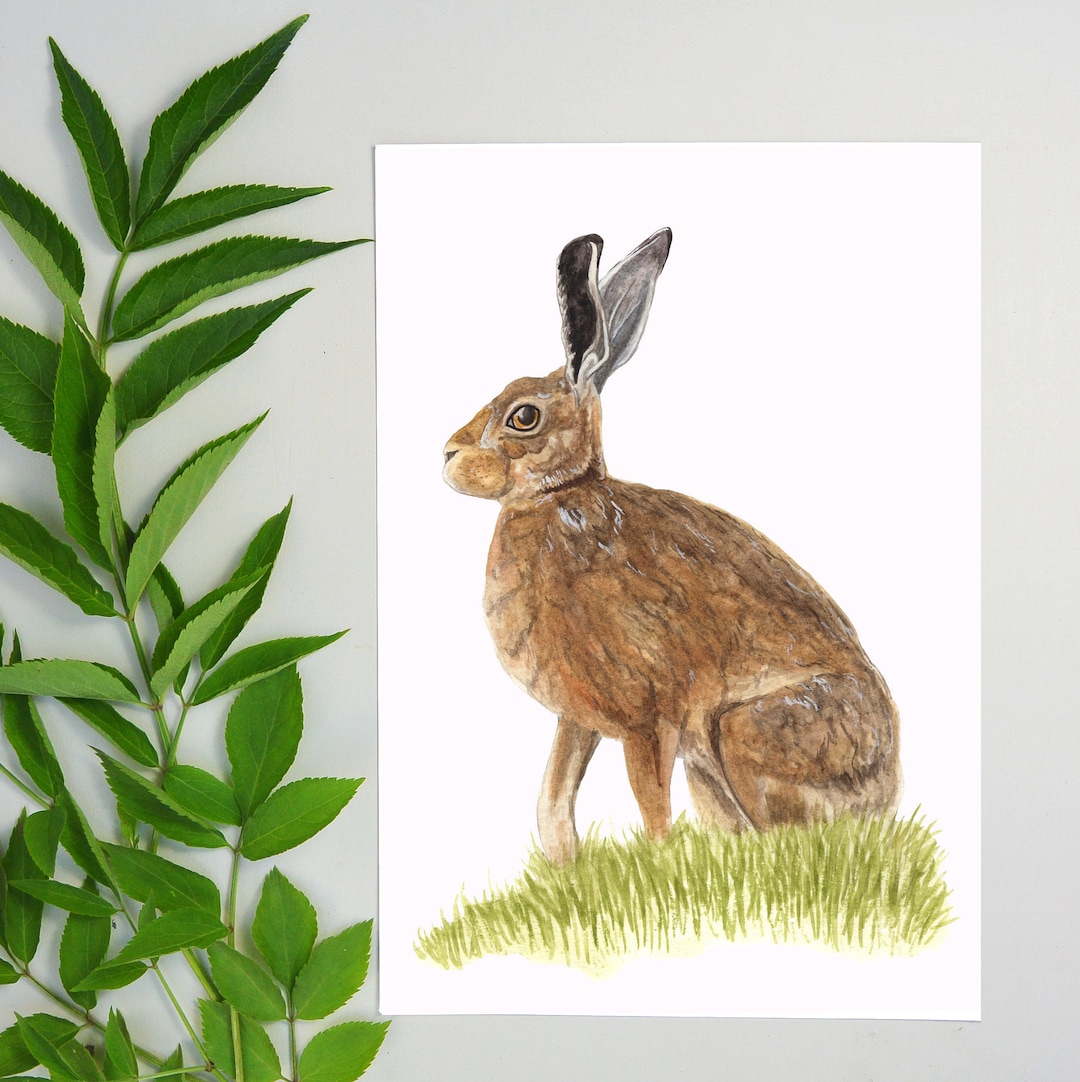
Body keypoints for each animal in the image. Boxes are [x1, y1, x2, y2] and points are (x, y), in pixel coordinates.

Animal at [443, 227, 901, 865]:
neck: (562, 494)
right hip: (708, 770)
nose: (447, 456)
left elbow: (649, 804)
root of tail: (888, 785)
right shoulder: (577, 718)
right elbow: (553, 798)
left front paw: (656, 860)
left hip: (747, 730)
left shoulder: (648, 715)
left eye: (523, 416)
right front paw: (566, 868)